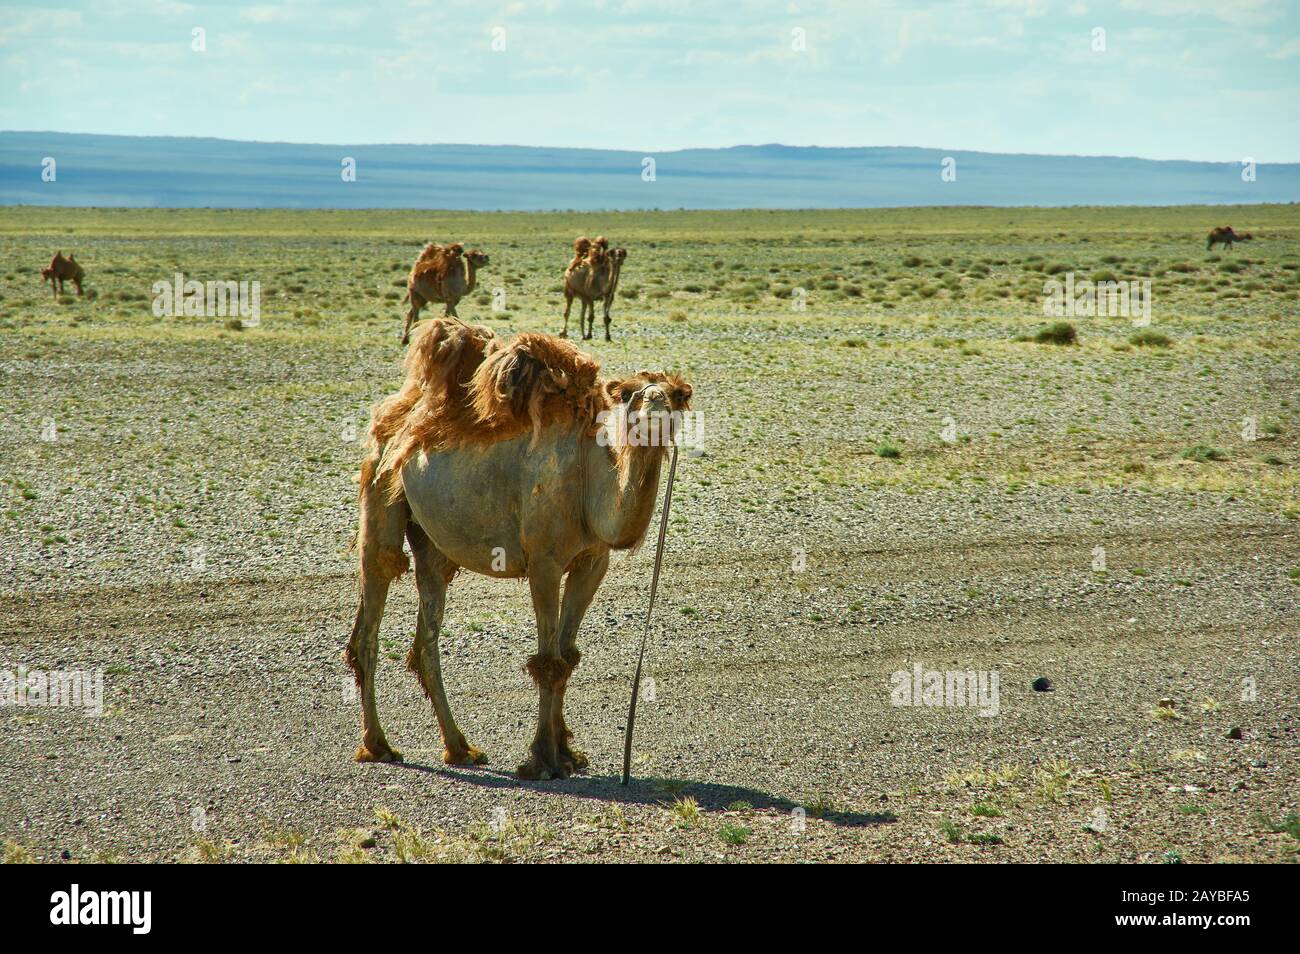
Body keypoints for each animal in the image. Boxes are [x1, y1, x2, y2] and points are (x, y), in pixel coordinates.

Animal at [345, 319, 692, 779]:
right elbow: (548, 662)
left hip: (432, 542)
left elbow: (567, 656)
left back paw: (459, 748)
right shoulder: (543, 561)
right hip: (380, 499)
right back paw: (379, 744)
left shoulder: (592, 562)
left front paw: (567, 752)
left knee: (426, 637)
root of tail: (395, 417)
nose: (654, 410)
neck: (588, 480)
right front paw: (542, 759)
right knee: (372, 610)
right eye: (630, 395)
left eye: (675, 395)